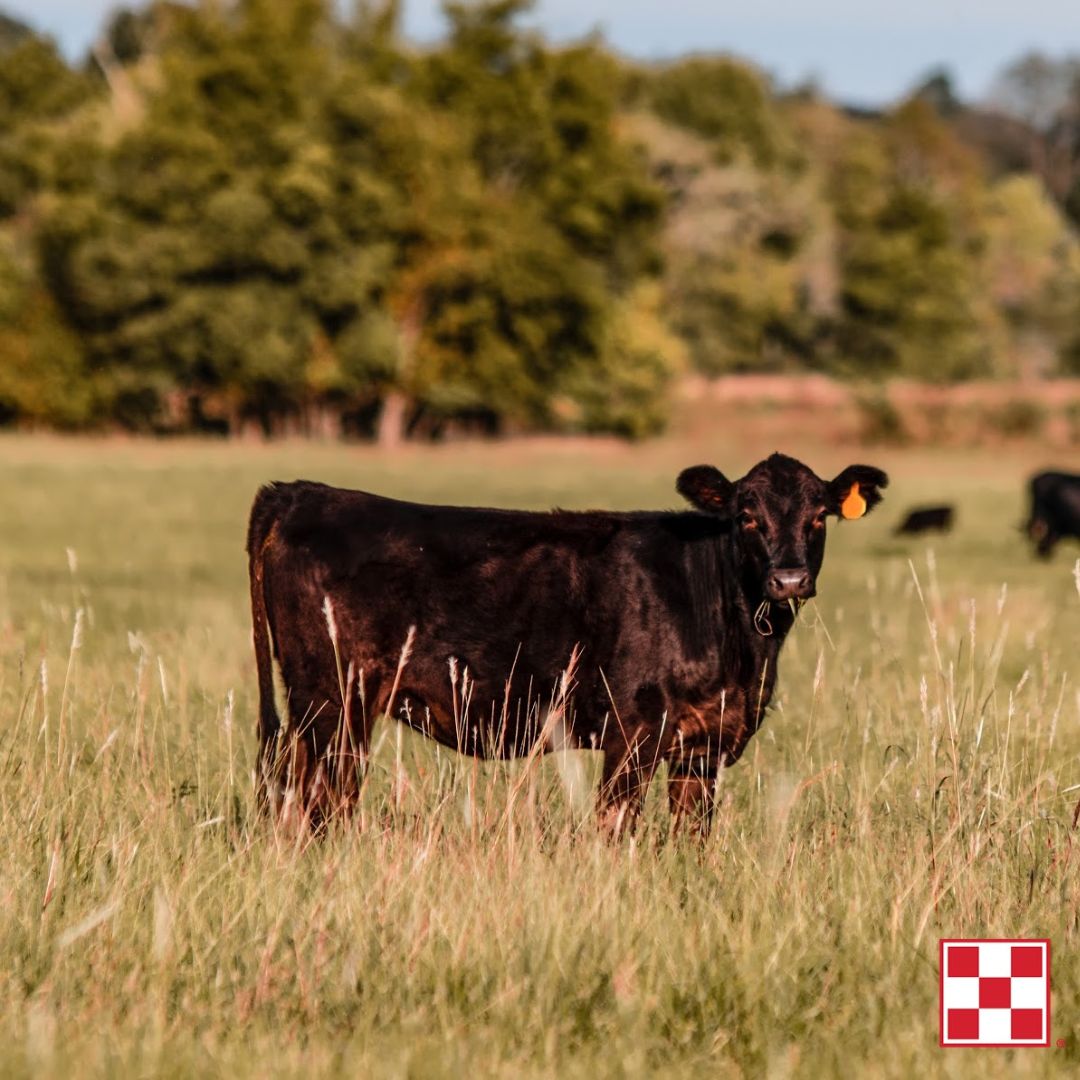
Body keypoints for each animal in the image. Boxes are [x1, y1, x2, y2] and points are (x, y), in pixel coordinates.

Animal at [247, 452, 887, 834]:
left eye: (819, 517)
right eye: (747, 516)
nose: (789, 580)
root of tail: (300, 491)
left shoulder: (706, 744)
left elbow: (690, 836)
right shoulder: (634, 733)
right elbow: (616, 827)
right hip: (332, 702)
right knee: (319, 800)